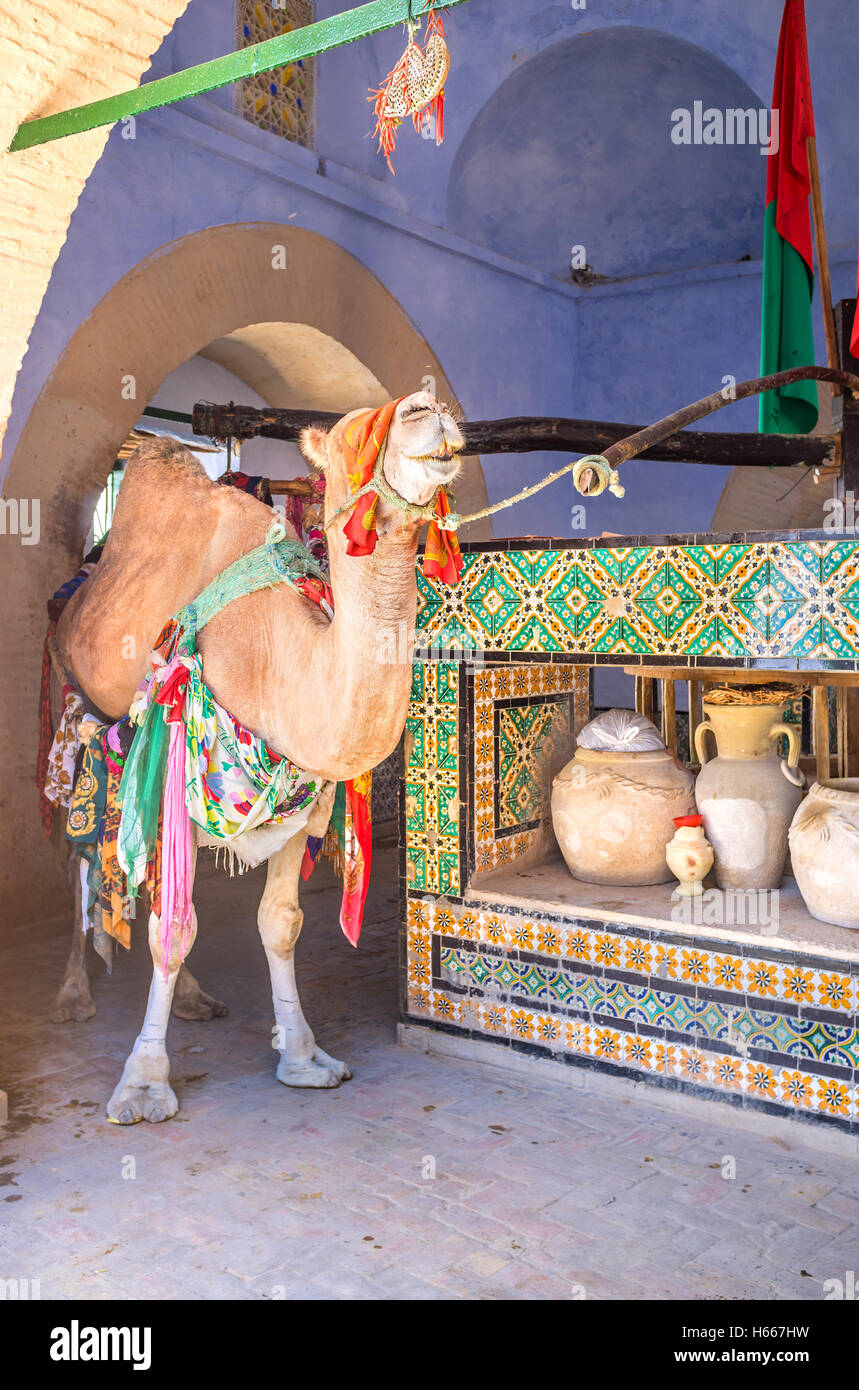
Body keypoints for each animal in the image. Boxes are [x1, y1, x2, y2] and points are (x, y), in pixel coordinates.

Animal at [52, 390, 464, 1123]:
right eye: (354, 436)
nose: (428, 407)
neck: (278, 657)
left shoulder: (299, 793)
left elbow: (280, 922)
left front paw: (302, 1055)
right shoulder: (178, 775)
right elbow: (171, 926)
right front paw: (143, 1083)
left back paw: (191, 997)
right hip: (74, 722)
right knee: (74, 859)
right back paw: (74, 993)